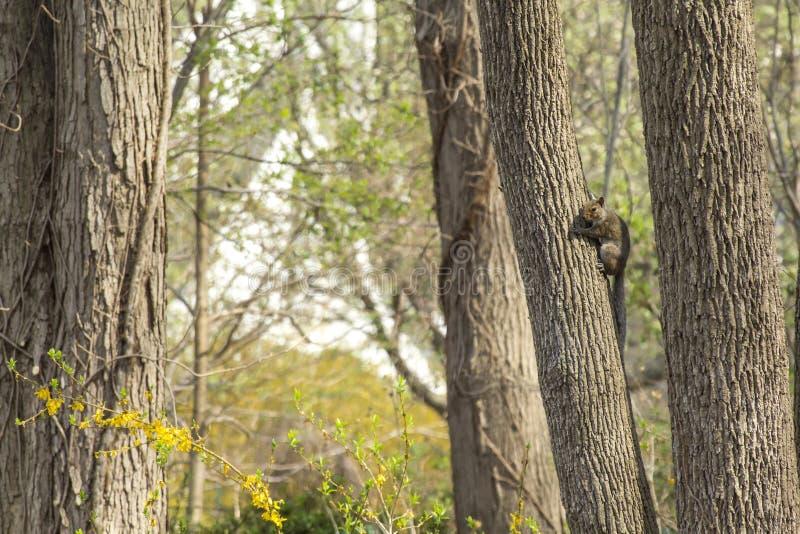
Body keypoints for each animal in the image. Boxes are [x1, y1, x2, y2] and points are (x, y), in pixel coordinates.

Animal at [571, 196, 630, 354]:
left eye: (594, 209)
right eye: (583, 206)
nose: (583, 217)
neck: (603, 215)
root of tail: (623, 267)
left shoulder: (601, 228)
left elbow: (591, 232)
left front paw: (579, 229)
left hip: (608, 250)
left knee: (611, 270)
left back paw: (603, 267)